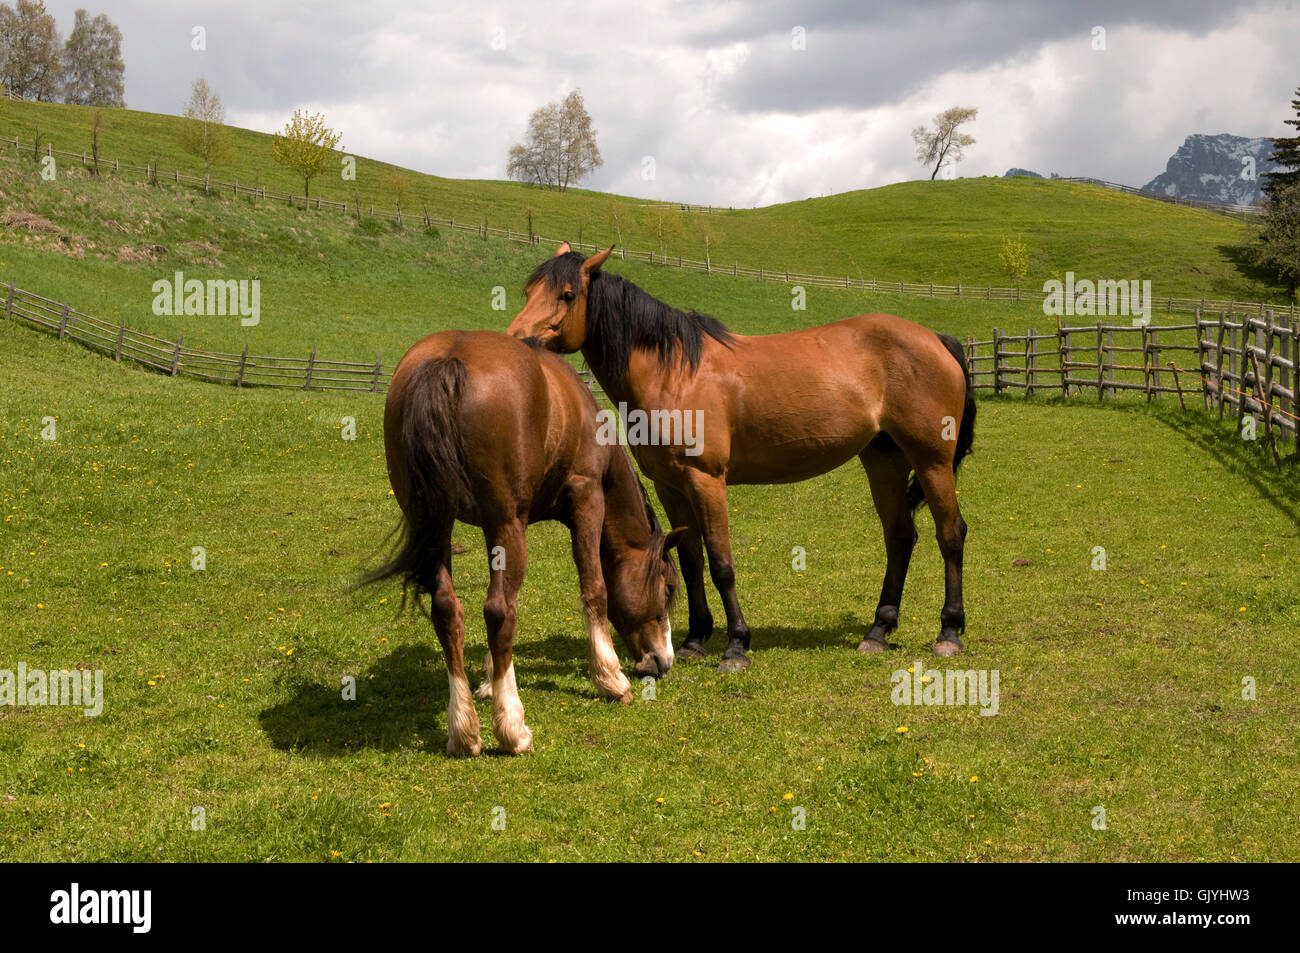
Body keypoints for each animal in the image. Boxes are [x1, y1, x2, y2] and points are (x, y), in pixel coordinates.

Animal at [366, 330, 684, 756]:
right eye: (668, 588)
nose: (663, 661)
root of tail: (448, 361)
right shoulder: (586, 499)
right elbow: (594, 590)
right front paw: (610, 678)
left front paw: (488, 680)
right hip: (505, 522)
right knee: (499, 611)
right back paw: (512, 728)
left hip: (440, 525)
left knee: (449, 611)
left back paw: (463, 731)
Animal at [507, 243, 976, 673]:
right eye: (529, 291)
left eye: (567, 294)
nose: (517, 342)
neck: (675, 373)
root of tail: (937, 339)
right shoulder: (671, 485)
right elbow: (690, 559)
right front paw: (695, 639)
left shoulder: (707, 480)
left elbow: (721, 562)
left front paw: (736, 646)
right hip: (884, 460)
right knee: (900, 536)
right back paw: (877, 632)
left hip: (931, 461)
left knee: (950, 534)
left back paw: (949, 632)